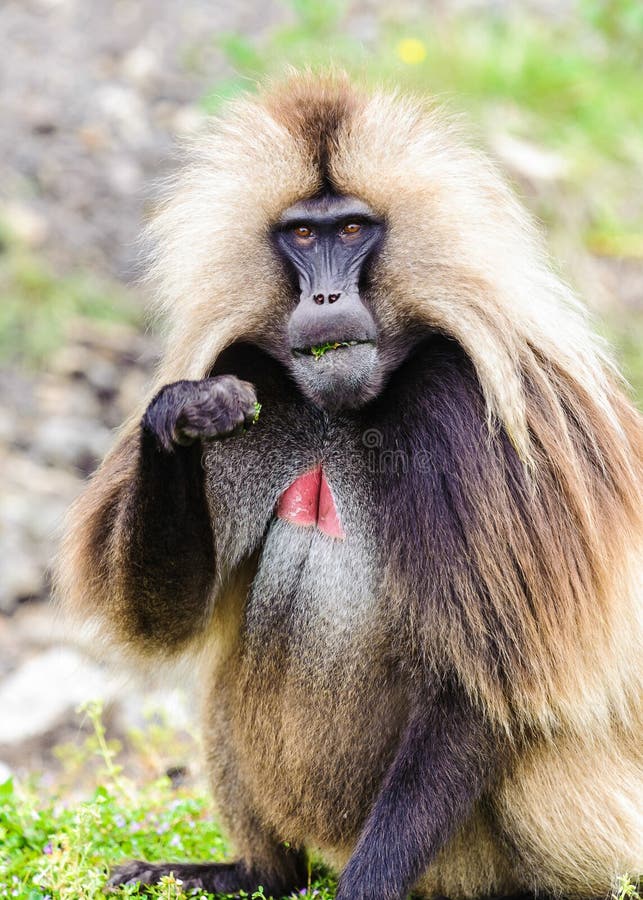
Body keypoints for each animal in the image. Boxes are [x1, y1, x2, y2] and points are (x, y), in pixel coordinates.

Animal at [57, 72, 643, 900]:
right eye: (302, 235)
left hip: (524, 842)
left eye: (353, 230)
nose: (326, 300)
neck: (348, 409)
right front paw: (179, 419)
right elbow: (167, 617)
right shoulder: (252, 369)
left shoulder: (469, 413)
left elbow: (486, 690)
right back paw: (249, 872)